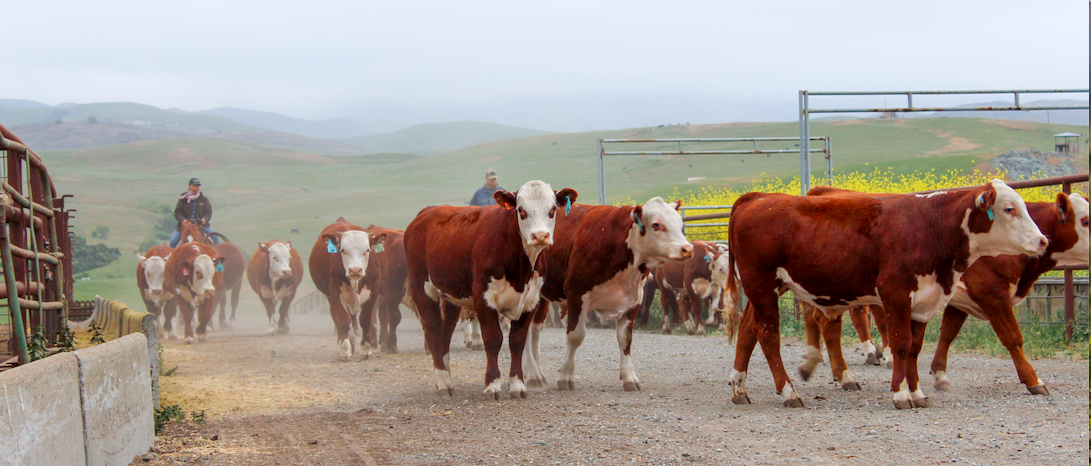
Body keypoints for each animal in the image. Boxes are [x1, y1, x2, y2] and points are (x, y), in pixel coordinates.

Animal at [309, 218, 386, 361]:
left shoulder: (373, 292)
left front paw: (366, 349)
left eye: (367, 250)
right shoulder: (335, 294)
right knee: (338, 318)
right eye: (343, 250)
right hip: (330, 296)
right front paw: (344, 349)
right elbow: (344, 321)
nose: (355, 270)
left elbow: (365, 320)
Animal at [404, 180, 576, 399]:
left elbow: (517, 341)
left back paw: (445, 373)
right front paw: (493, 385)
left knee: (446, 332)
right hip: (423, 288)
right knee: (433, 329)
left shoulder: (530, 301)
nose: (540, 236)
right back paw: (443, 382)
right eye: (521, 210)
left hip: (451, 297)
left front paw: (517, 385)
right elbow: (493, 339)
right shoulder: (484, 299)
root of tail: (428, 211)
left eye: (553, 209)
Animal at [522, 197, 694, 392]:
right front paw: (565, 376)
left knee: (535, 332)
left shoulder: (634, 301)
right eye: (656, 224)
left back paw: (537, 373)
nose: (687, 249)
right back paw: (533, 374)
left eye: (680, 223)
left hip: (541, 298)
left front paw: (629, 377)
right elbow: (575, 336)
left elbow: (625, 339)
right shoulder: (577, 296)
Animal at [726, 180, 1048, 409]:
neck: (931, 225)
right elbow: (901, 344)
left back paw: (739, 387)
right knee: (768, 335)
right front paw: (901, 394)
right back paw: (788, 392)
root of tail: (758, 197)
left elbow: (915, 348)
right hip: (762, 285)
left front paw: (917, 393)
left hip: (768, 288)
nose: (1042, 240)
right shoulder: (896, 294)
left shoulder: (923, 300)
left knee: (748, 328)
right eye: (1009, 208)